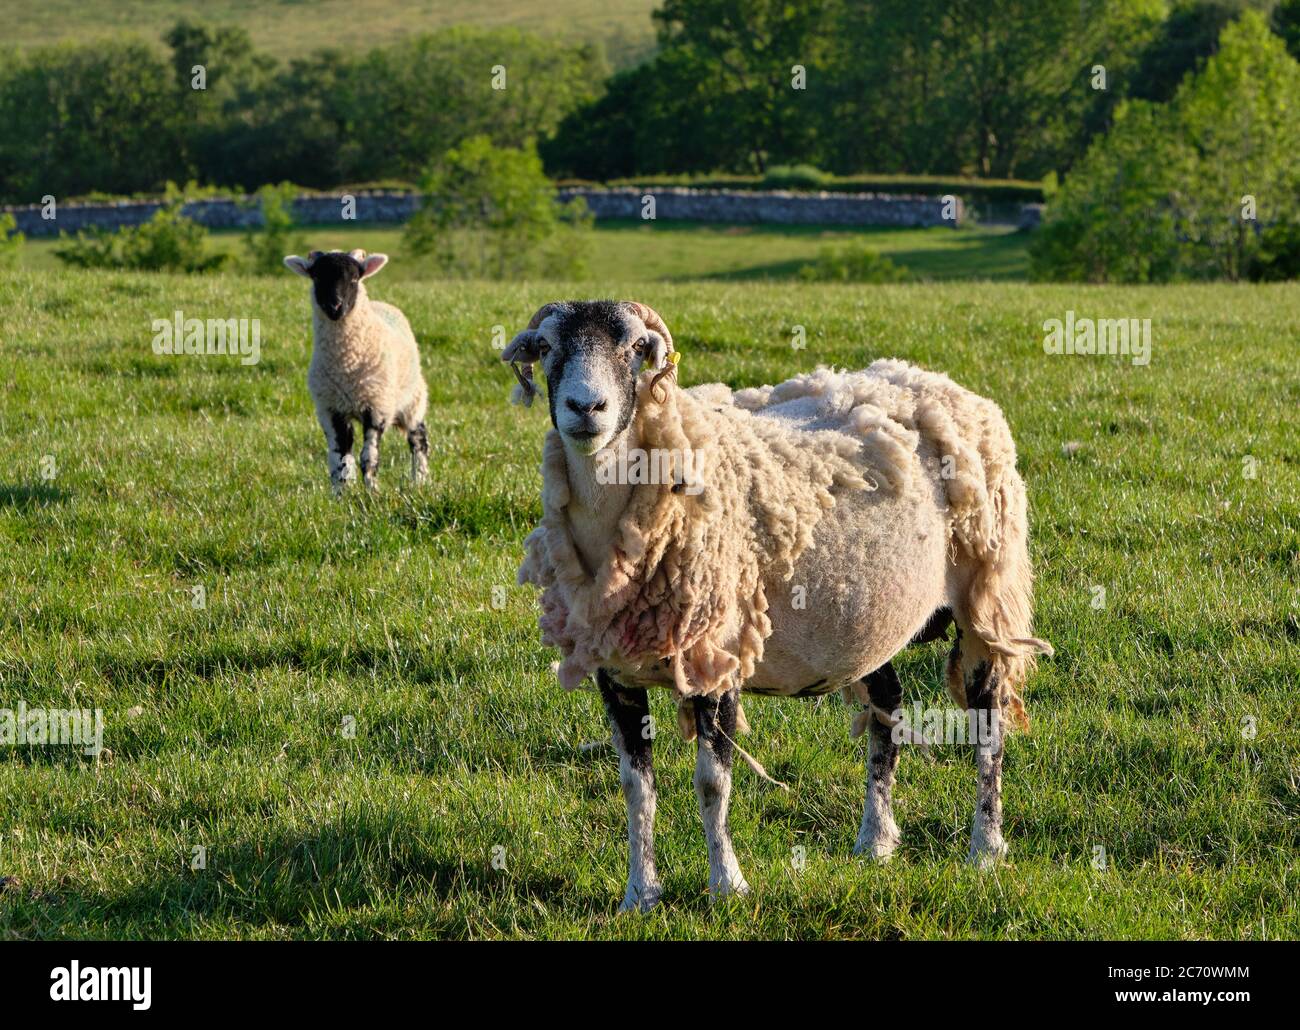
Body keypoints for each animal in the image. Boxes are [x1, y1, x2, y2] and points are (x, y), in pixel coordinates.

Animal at [283, 249, 429, 490]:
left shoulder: (377, 407)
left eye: (354, 279)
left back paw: (421, 479)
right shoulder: (331, 410)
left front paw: (372, 491)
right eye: (317, 278)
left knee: (418, 438)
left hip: (412, 399)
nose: (335, 307)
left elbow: (369, 457)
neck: (346, 365)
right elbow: (339, 459)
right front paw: (340, 494)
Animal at [502, 300, 1052, 911]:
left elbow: (712, 783)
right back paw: (875, 841)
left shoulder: (715, 660)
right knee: (887, 706)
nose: (587, 407)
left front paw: (727, 886)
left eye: (634, 349)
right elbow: (635, 787)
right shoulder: (614, 674)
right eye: (547, 347)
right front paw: (640, 896)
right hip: (873, 617)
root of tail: (945, 383)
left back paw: (985, 848)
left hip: (986, 596)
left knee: (988, 723)